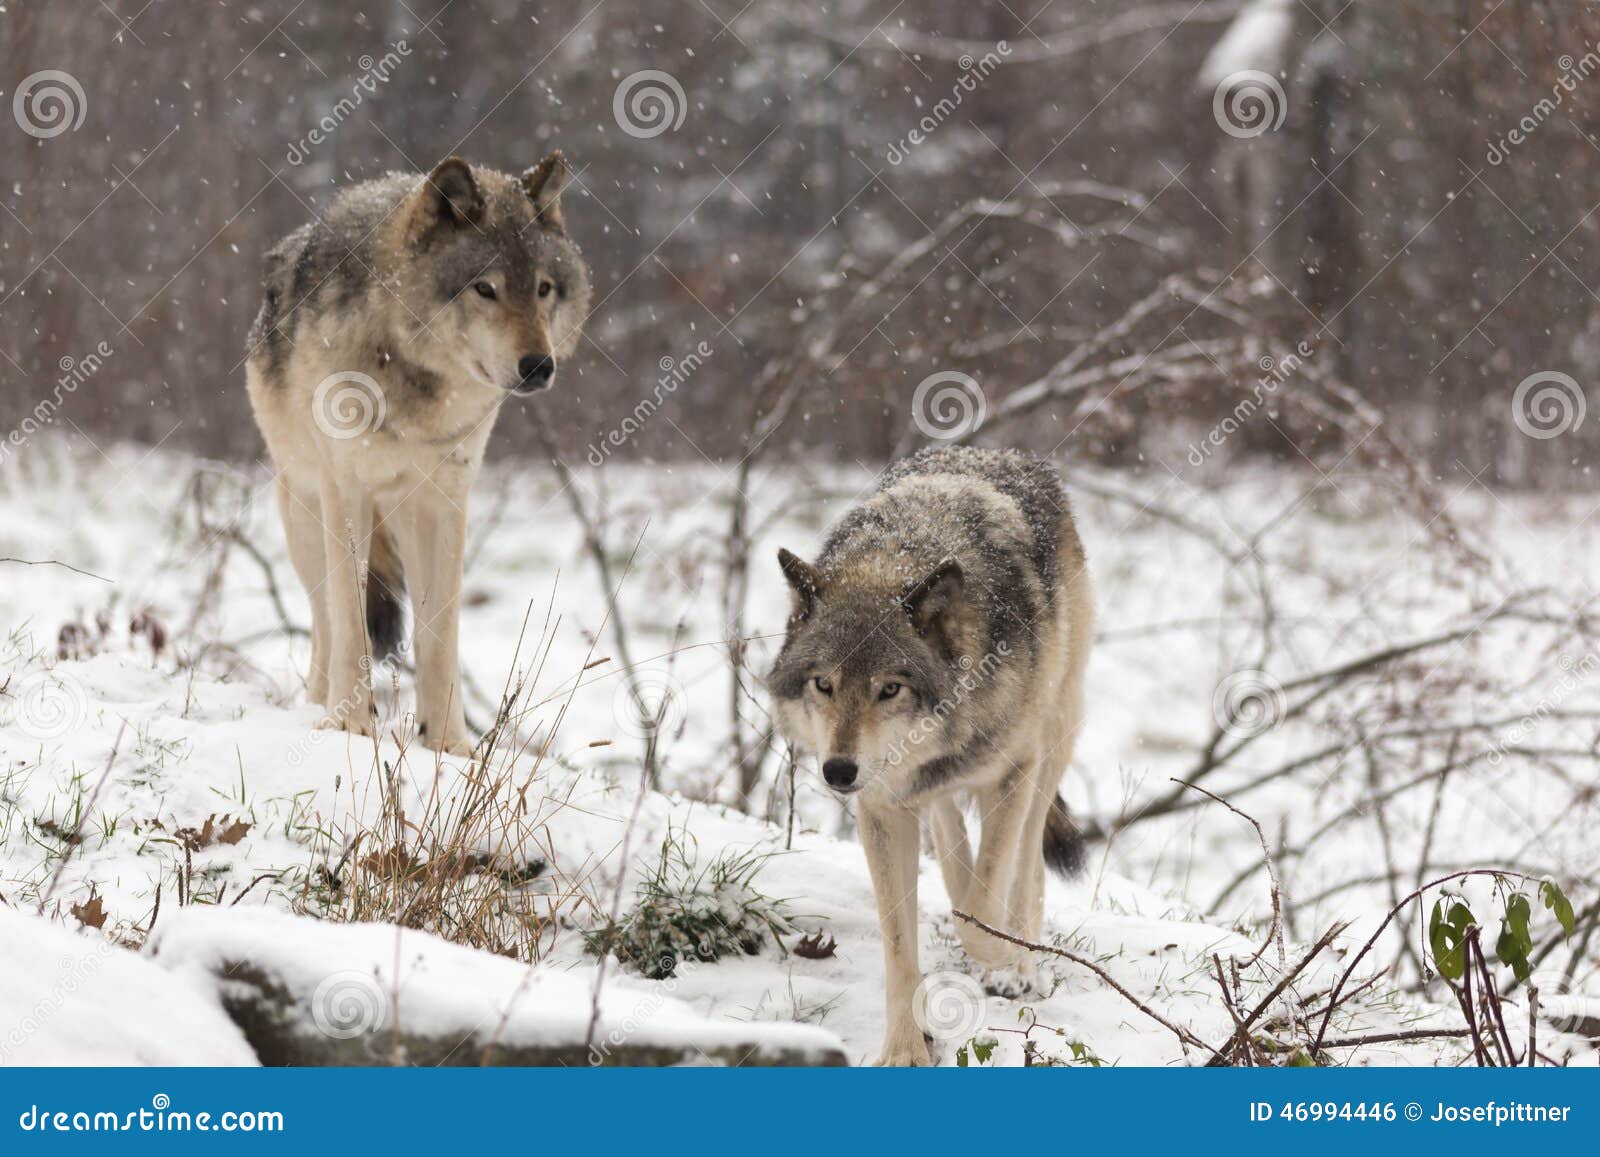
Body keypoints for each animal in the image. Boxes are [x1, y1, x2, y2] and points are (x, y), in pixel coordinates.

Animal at [246, 154, 590, 754]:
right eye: (485, 289)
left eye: (545, 288)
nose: (538, 366)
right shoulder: (348, 490)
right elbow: (349, 621)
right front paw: (351, 726)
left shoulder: (445, 500)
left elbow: (440, 636)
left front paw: (448, 746)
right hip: (305, 518)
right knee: (324, 622)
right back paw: (318, 706)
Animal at [767, 446, 1093, 1066]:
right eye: (823, 684)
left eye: (890, 689)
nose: (838, 771)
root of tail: (998, 451)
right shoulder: (883, 807)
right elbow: (902, 949)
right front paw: (904, 1049)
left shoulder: (1015, 770)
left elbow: (982, 910)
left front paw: (1003, 960)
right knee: (950, 837)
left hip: (1052, 743)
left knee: (1026, 865)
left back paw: (1021, 963)